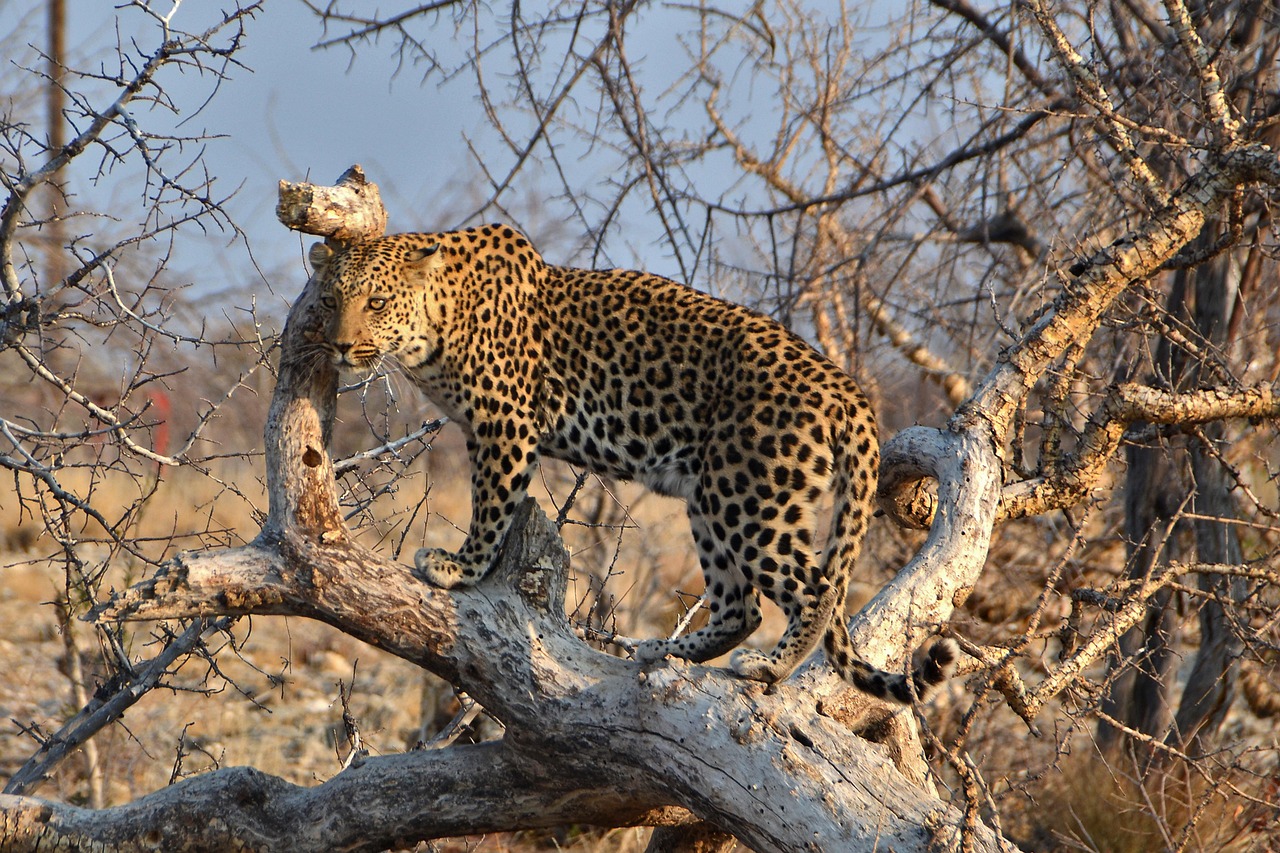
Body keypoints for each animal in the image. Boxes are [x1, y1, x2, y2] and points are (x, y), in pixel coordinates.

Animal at [309, 223, 956, 702]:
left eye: (377, 302)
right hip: (711, 495)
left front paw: (458, 568)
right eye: (332, 301)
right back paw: (663, 652)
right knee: (741, 604)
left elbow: (492, 506)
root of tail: (847, 388)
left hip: (749, 497)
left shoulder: (504, 424)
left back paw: (768, 669)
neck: (439, 321)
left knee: (815, 589)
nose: (338, 346)